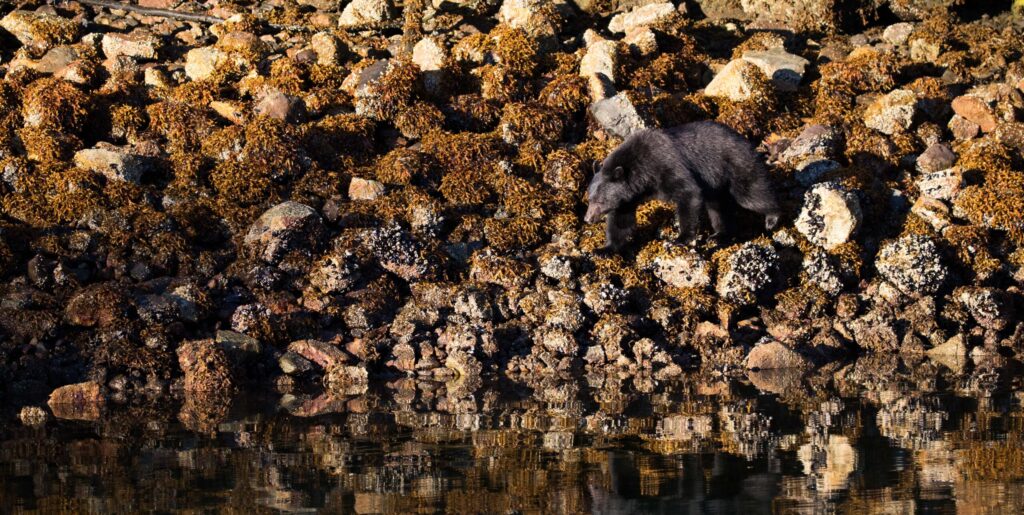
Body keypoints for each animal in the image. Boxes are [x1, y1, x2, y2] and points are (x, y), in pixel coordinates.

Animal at [584, 121, 780, 254]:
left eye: (600, 201)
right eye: (590, 199)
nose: (587, 218)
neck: (642, 174)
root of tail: (747, 142)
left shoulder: (665, 165)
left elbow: (688, 193)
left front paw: (679, 239)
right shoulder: (628, 198)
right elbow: (621, 220)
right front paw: (603, 249)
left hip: (737, 166)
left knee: (752, 194)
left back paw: (772, 218)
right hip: (716, 187)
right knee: (719, 209)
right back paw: (719, 234)